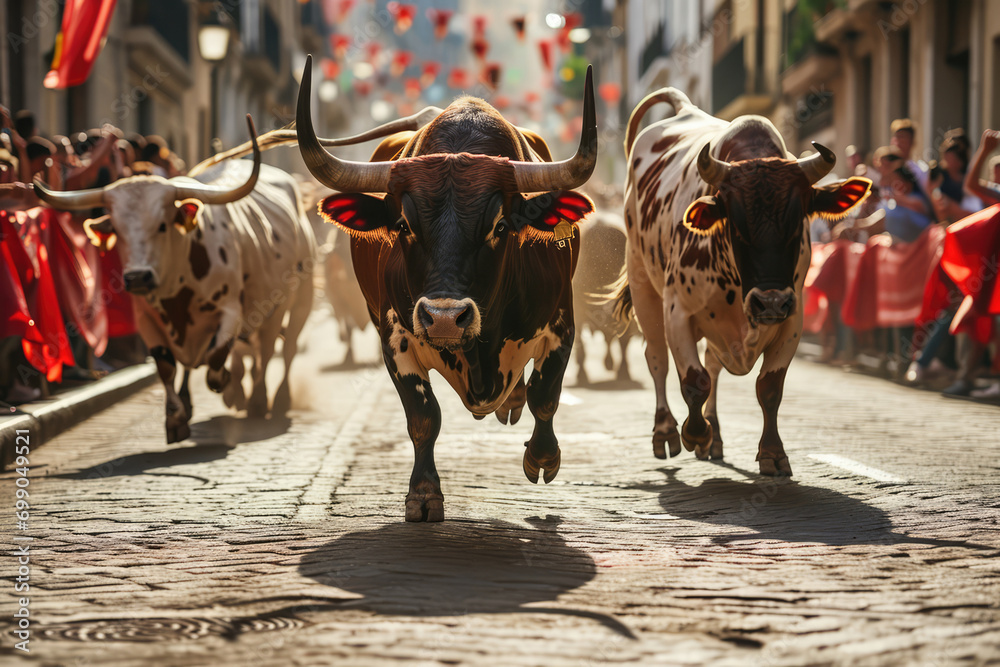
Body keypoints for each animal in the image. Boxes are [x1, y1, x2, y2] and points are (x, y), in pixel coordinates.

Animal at [35, 117, 317, 443]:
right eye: (116, 228)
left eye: (162, 224)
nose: (138, 277)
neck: (177, 293)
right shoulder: (147, 319)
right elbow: (167, 366)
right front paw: (176, 417)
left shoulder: (231, 311)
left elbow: (217, 356)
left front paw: (226, 384)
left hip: (296, 302)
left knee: (280, 348)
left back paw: (267, 399)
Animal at [296, 55, 597, 521]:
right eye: (403, 225)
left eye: (499, 227)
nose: (443, 317)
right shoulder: (394, 339)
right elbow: (424, 417)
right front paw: (423, 494)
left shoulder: (562, 324)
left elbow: (545, 395)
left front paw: (542, 457)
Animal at [615, 88, 871, 476]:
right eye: (736, 223)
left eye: (799, 219)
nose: (770, 302)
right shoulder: (677, 310)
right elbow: (694, 380)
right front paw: (695, 433)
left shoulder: (792, 320)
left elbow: (769, 387)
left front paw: (772, 452)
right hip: (642, 281)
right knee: (657, 357)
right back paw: (666, 432)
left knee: (713, 365)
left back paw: (716, 436)